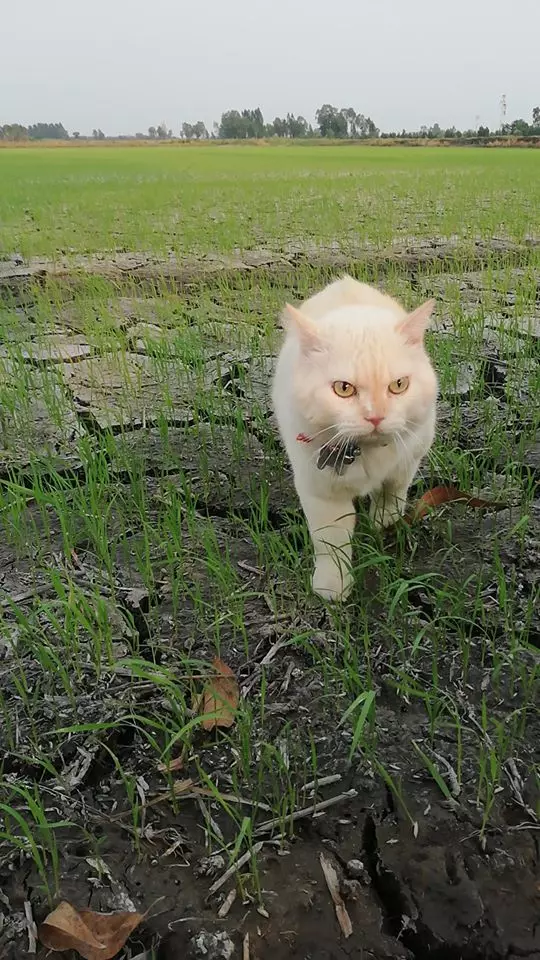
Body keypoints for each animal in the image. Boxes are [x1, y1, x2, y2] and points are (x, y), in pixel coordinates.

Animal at [272, 274, 436, 596]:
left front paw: (384, 521)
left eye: (399, 385)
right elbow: (331, 543)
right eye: (343, 389)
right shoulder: (320, 492)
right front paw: (333, 588)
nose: (375, 416)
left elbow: (393, 491)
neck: (365, 452)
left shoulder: (409, 456)